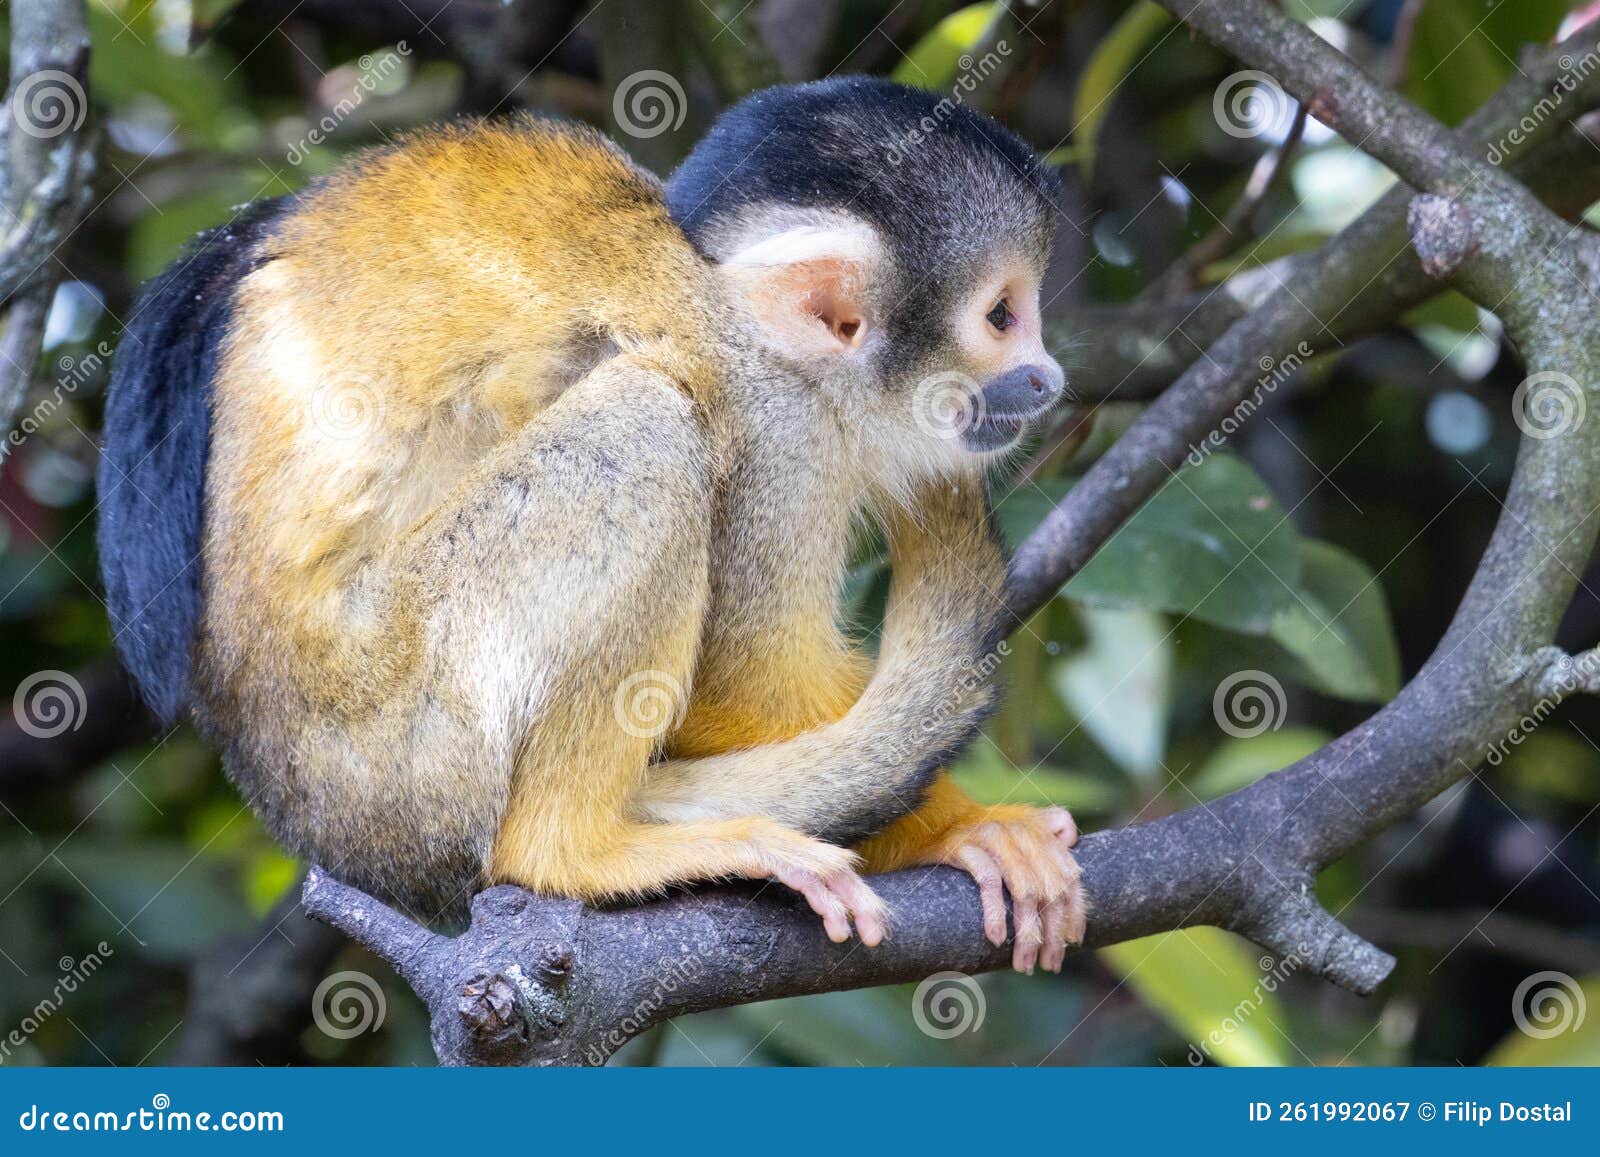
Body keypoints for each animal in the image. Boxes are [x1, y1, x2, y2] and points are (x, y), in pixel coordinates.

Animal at [97, 77, 1085, 974]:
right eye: (1001, 316)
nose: (1049, 378)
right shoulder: (777, 425)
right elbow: (748, 682)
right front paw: (962, 828)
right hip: (403, 729)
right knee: (647, 423)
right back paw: (572, 850)